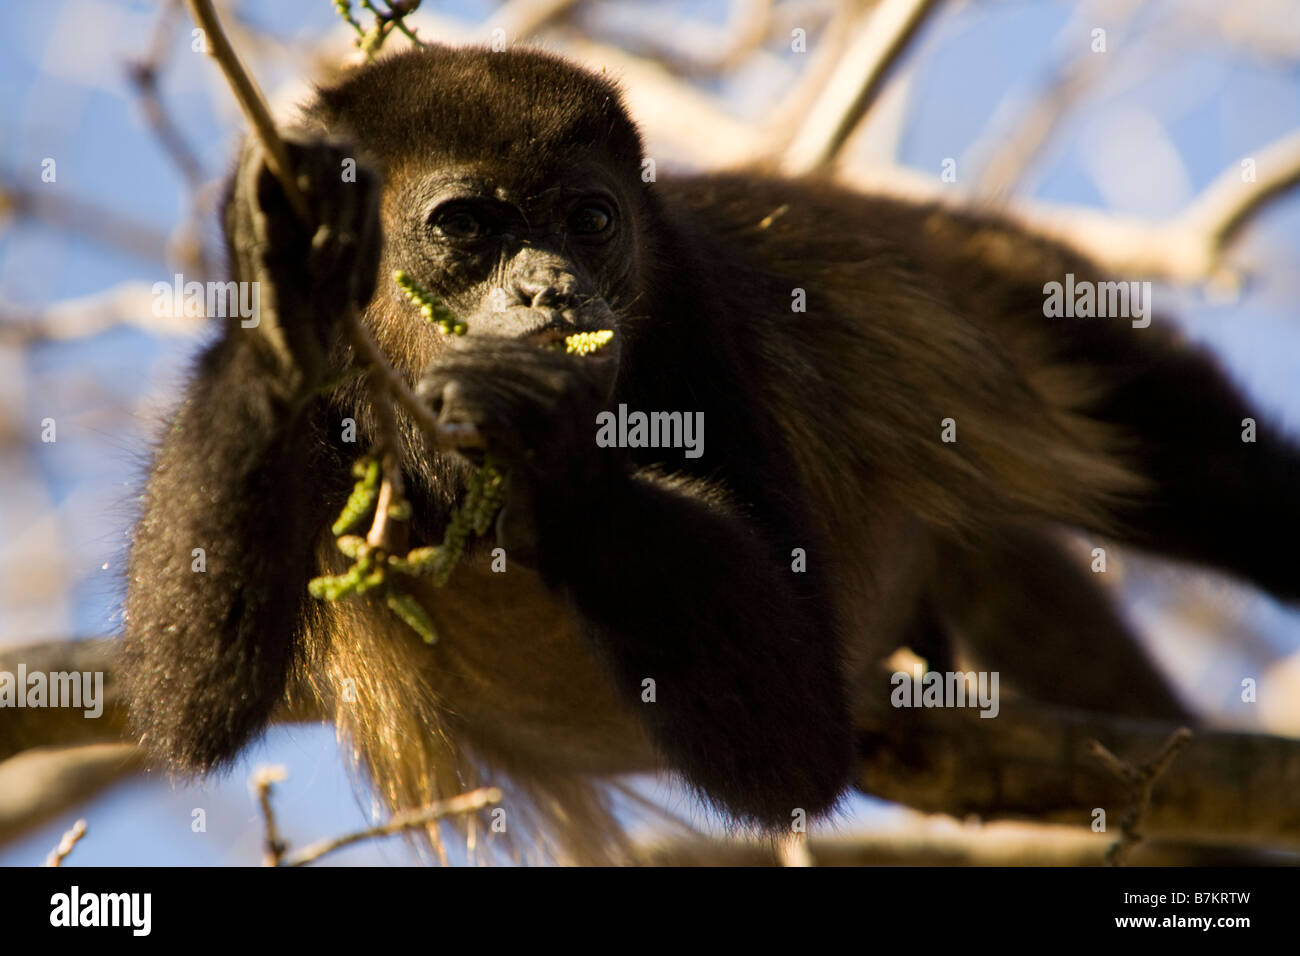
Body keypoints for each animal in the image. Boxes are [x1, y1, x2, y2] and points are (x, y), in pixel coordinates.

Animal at [121, 44, 1299, 862]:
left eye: (590, 220)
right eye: (466, 225)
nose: (551, 289)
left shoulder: (687, 305)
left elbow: (796, 741)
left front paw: (554, 447)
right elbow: (187, 704)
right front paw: (291, 296)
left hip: (987, 279)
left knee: (1196, 460)